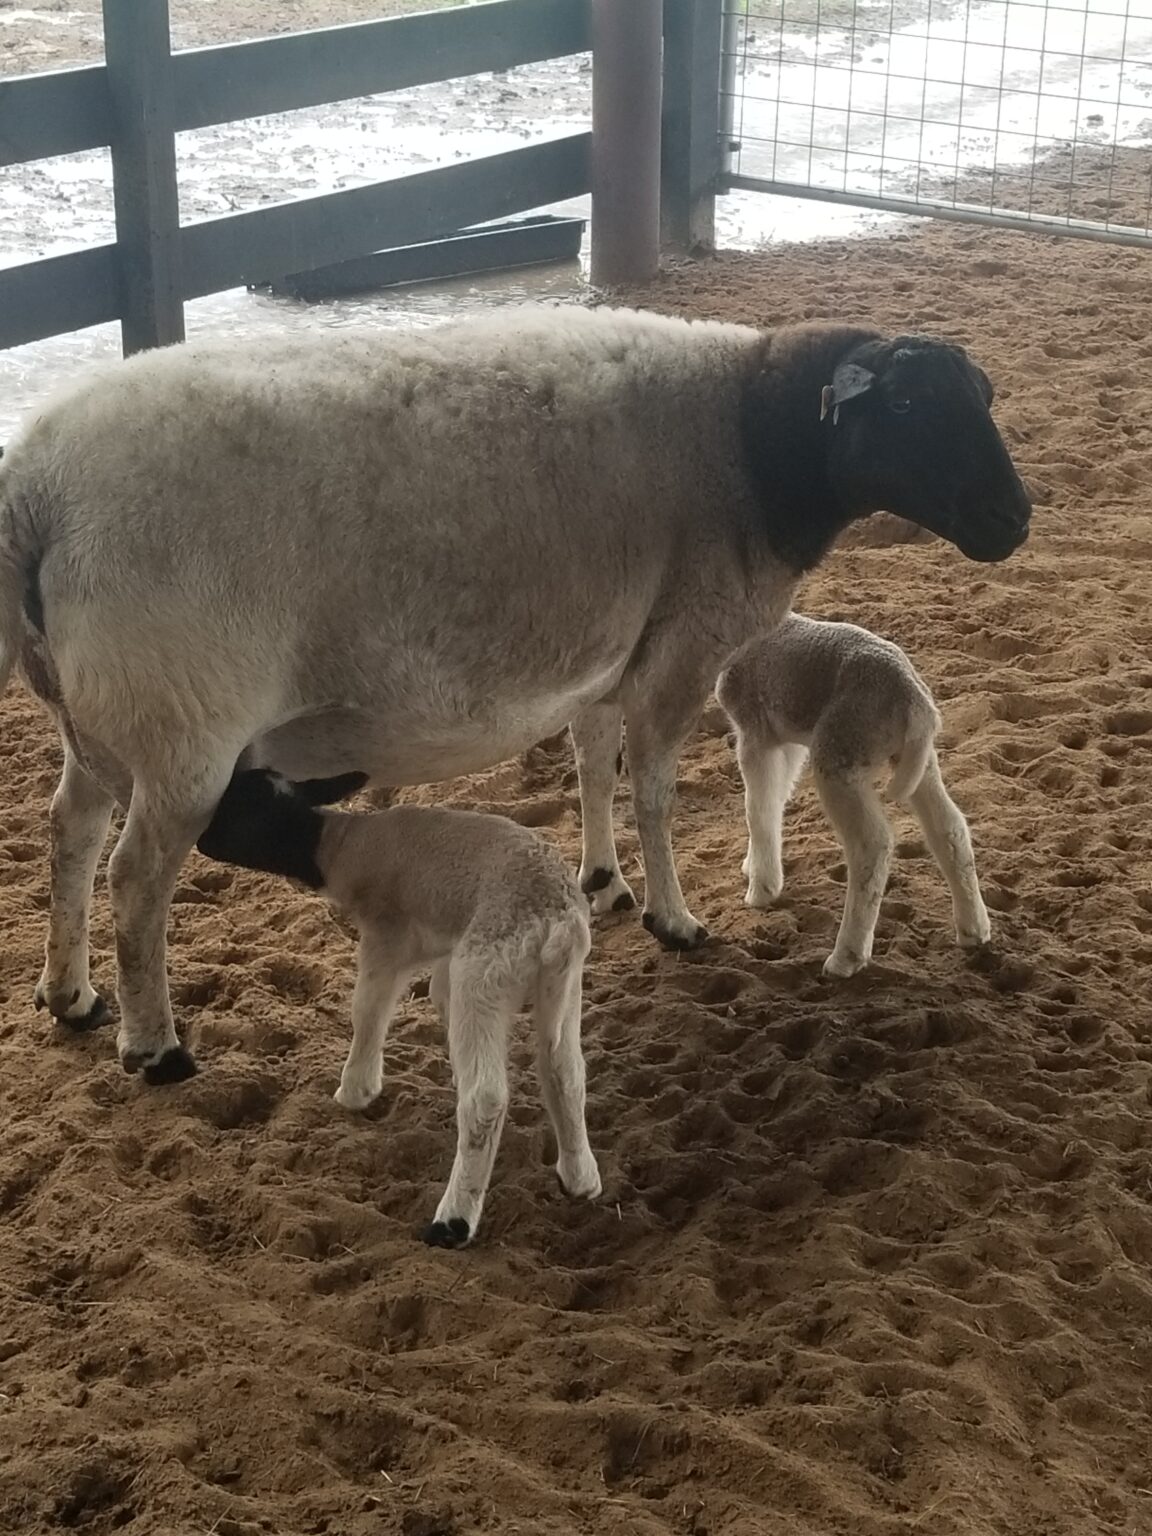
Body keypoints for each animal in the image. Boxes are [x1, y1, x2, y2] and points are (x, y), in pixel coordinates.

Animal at [196, 769, 602, 1248]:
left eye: (239, 809)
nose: (200, 842)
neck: (337, 845)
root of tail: (556, 922)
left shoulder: (386, 936)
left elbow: (367, 1009)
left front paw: (356, 1090)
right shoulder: (446, 947)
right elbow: (438, 997)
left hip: (485, 967)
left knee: (485, 1097)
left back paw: (452, 1221)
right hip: (561, 982)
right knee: (565, 1070)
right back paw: (579, 1175)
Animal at [716, 614, 991, 977]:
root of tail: (915, 705)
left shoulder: (754, 728)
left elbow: (757, 809)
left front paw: (762, 889)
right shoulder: (786, 737)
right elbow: (776, 800)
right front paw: (754, 865)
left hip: (841, 752)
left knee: (871, 845)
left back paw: (846, 956)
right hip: (914, 760)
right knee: (950, 827)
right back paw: (974, 929)